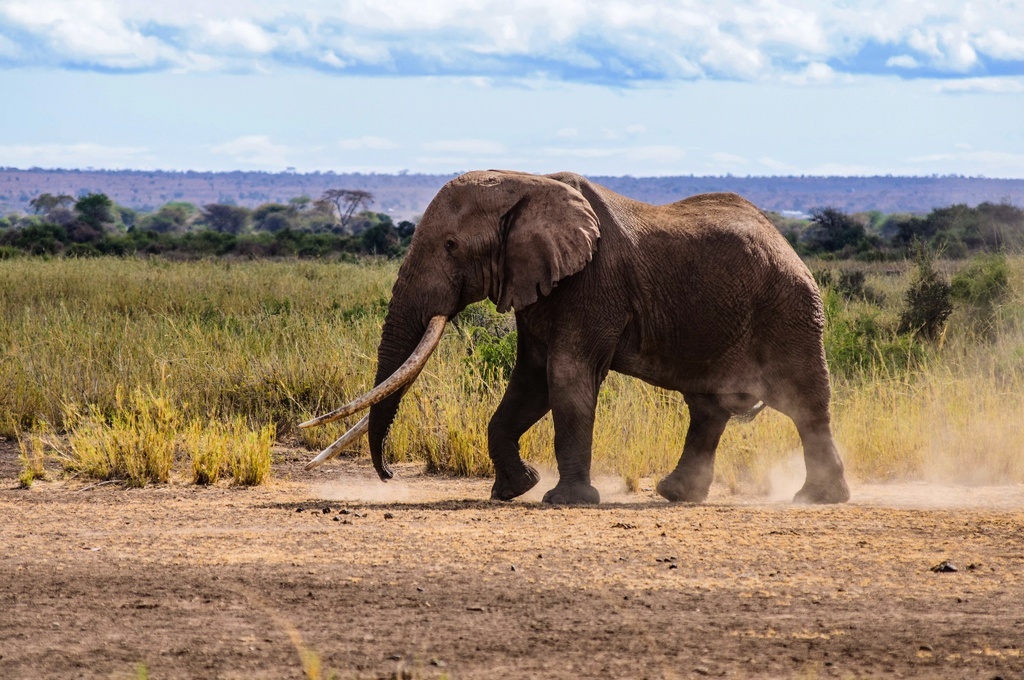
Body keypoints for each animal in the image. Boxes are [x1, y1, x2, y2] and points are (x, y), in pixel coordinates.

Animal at [301, 170, 851, 506]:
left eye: (452, 246)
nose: (390, 476)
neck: (524, 182)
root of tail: (788, 244)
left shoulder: (592, 284)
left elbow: (566, 378)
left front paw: (563, 501)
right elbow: (530, 383)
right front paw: (514, 489)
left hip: (791, 311)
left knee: (805, 403)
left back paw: (817, 499)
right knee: (708, 408)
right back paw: (677, 495)